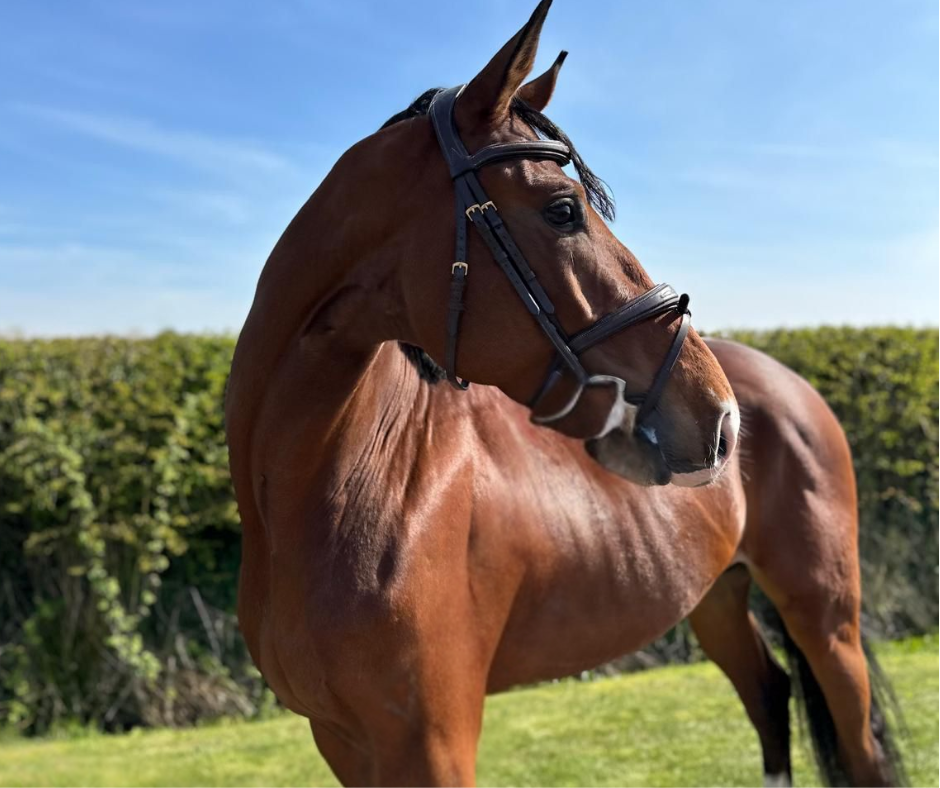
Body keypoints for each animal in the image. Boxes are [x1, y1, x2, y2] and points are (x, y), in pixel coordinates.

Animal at [225, 2, 903, 784]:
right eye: (562, 210)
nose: (721, 417)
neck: (331, 491)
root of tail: (793, 387)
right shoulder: (342, 741)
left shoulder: (431, 744)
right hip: (717, 599)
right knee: (770, 696)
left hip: (826, 617)